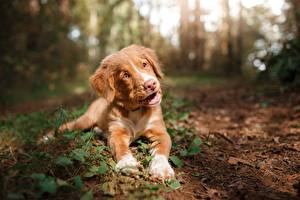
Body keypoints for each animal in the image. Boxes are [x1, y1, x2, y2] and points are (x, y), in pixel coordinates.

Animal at [59, 45, 173, 180]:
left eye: (144, 64)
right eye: (125, 75)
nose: (151, 84)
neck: (136, 111)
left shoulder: (160, 132)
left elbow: (161, 150)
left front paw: (161, 168)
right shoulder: (117, 133)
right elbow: (121, 148)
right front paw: (127, 163)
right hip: (85, 121)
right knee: (67, 126)